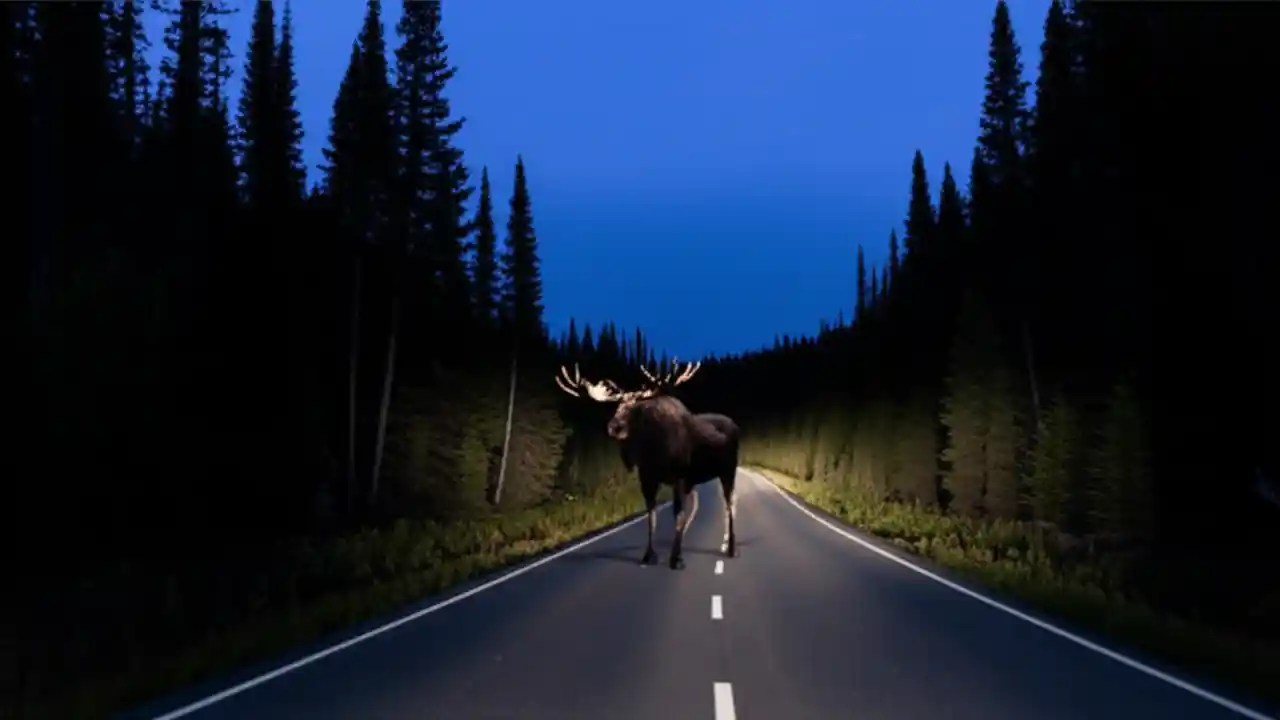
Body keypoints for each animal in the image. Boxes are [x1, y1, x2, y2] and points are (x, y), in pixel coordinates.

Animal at [555, 360, 740, 570]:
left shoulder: (680, 478)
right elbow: (652, 517)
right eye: (617, 407)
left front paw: (676, 559)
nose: (614, 427)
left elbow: (678, 515)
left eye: (636, 409)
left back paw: (731, 548)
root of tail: (736, 426)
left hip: (728, 471)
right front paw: (649, 555)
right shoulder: (647, 478)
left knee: (730, 504)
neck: (652, 449)